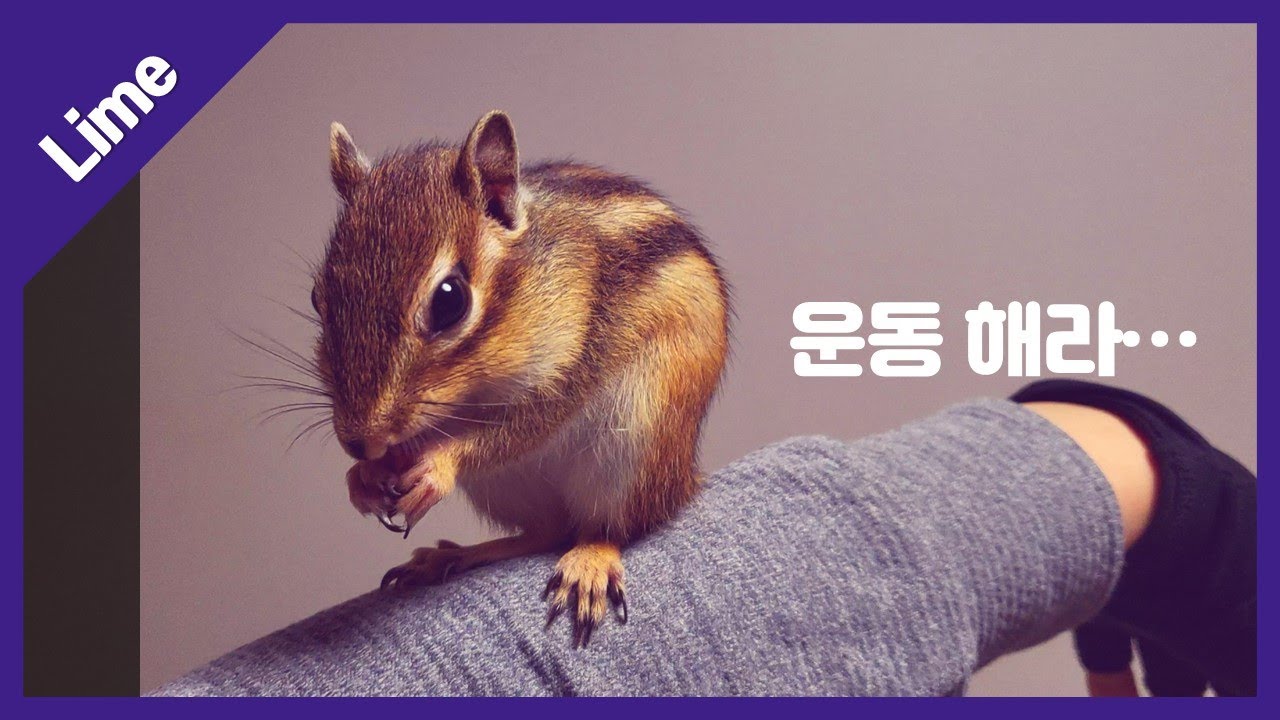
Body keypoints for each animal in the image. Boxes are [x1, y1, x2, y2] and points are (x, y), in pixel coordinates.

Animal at [312, 111, 730, 647]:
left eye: (449, 300)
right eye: (317, 299)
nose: (360, 442)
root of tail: (681, 477)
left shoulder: (573, 363)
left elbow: (524, 427)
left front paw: (436, 465)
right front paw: (363, 478)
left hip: (636, 440)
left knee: (612, 526)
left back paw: (590, 562)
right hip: (509, 487)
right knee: (546, 532)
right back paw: (453, 556)